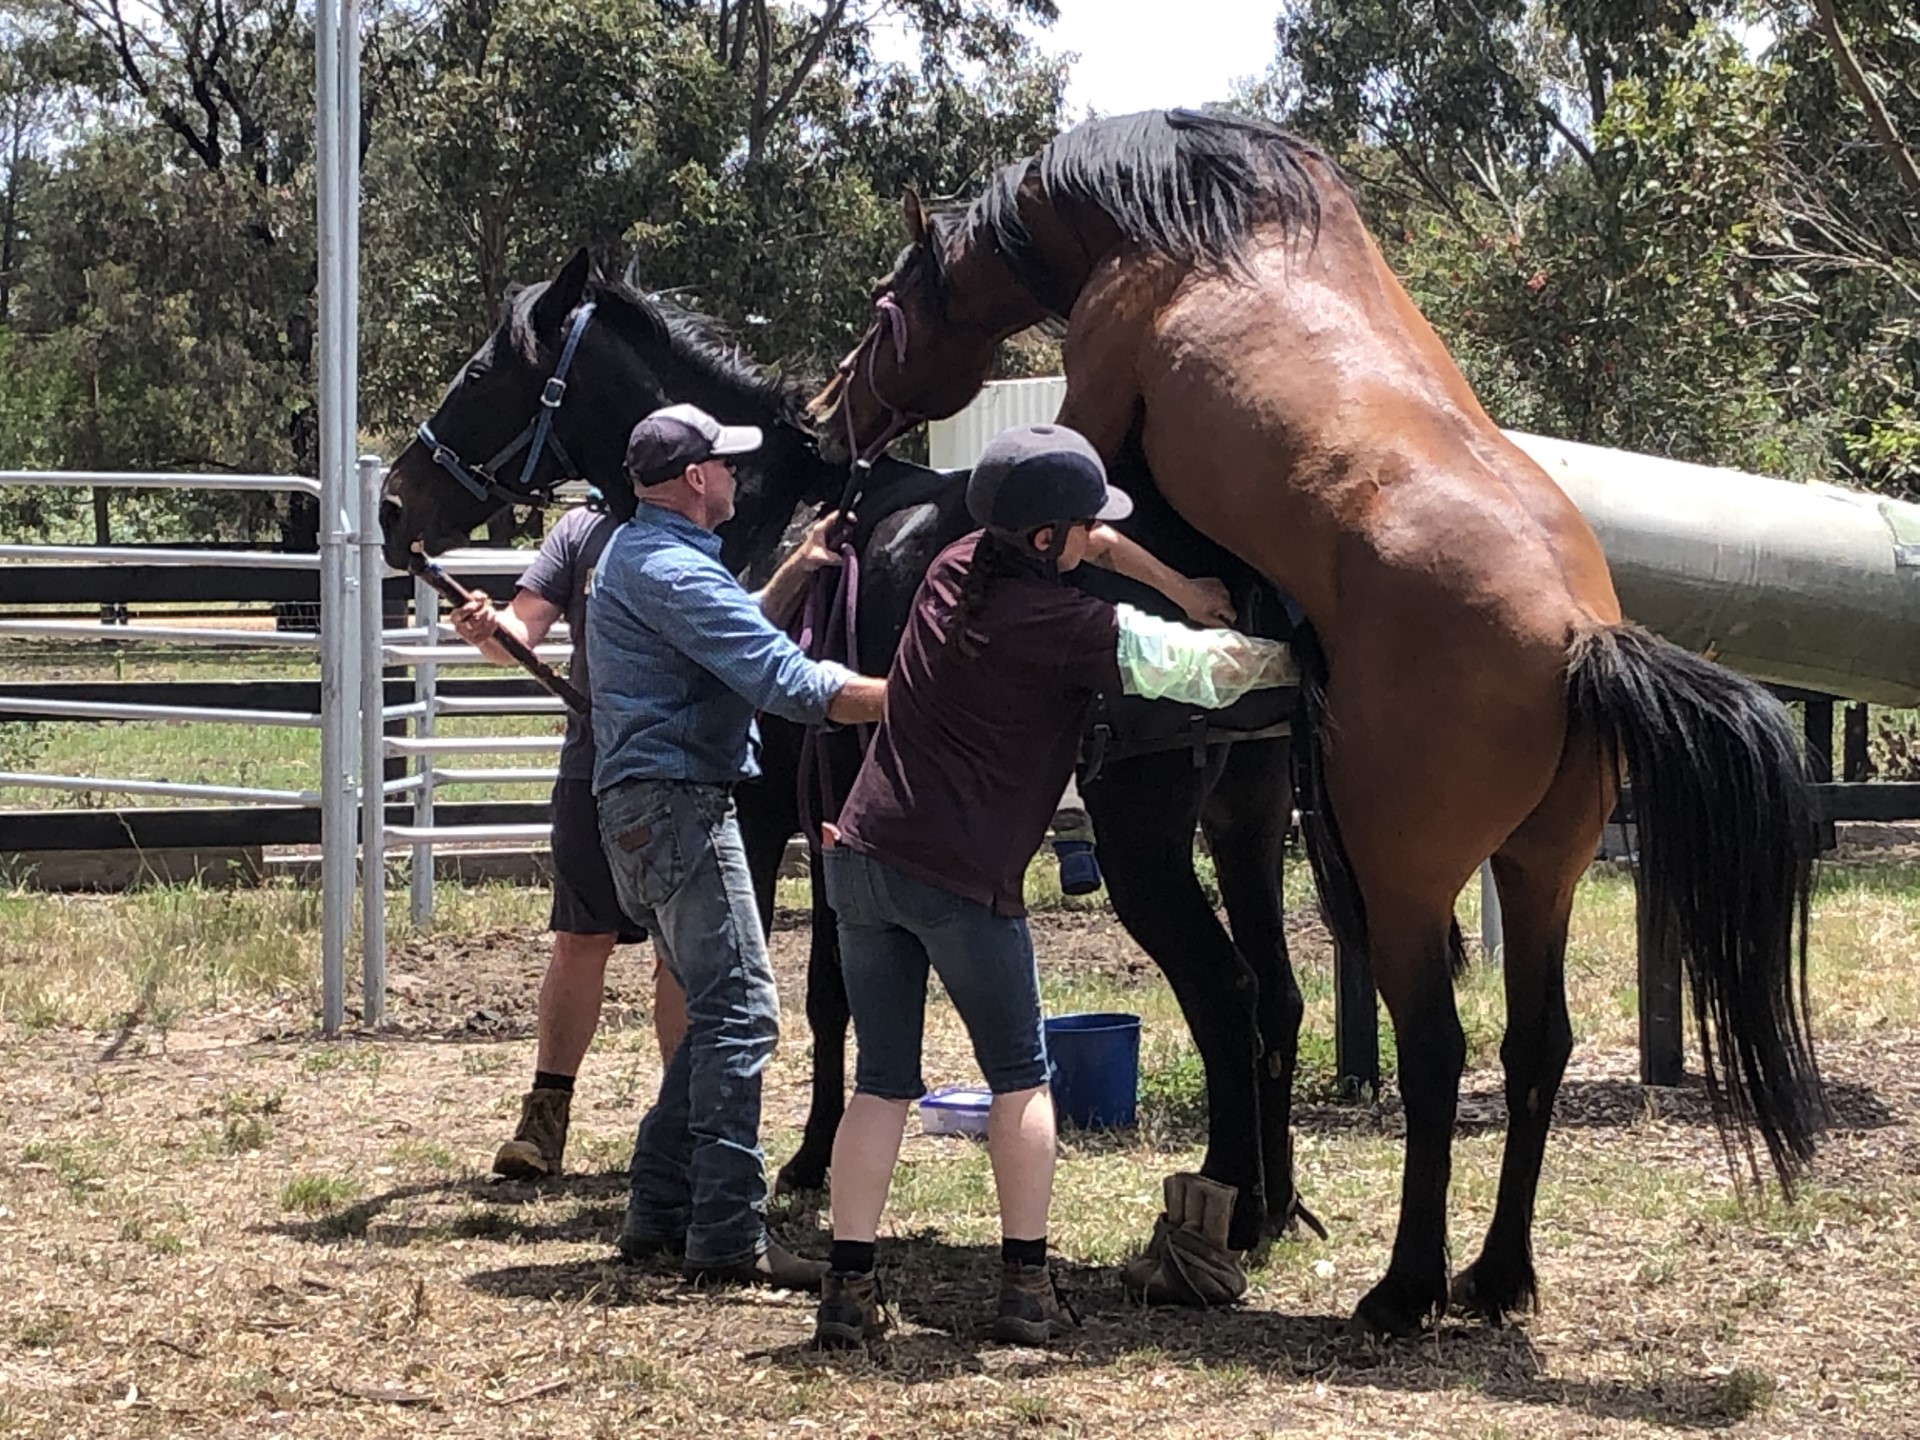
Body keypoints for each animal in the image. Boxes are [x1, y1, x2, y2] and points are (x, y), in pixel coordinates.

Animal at [378, 252, 1317, 1277]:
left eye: (480, 375)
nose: (394, 503)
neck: (771, 516)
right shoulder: (829, 818)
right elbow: (832, 996)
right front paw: (814, 1155)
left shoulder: (755, 816)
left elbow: (734, 992)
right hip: (1246, 821)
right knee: (1277, 995)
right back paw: (1276, 1204)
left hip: (1144, 841)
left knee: (1228, 995)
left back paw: (1227, 1211)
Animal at [809, 108, 1826, 1336]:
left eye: (885, 303)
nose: (827, 415)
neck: (1180, 221)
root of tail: (1578, 638)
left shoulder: (1094, 408)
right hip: (1543, 870)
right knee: (1536, 1047)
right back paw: (1496, 1276)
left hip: (1403, 886)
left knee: (1433, 1053)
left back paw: (1405, 1287)